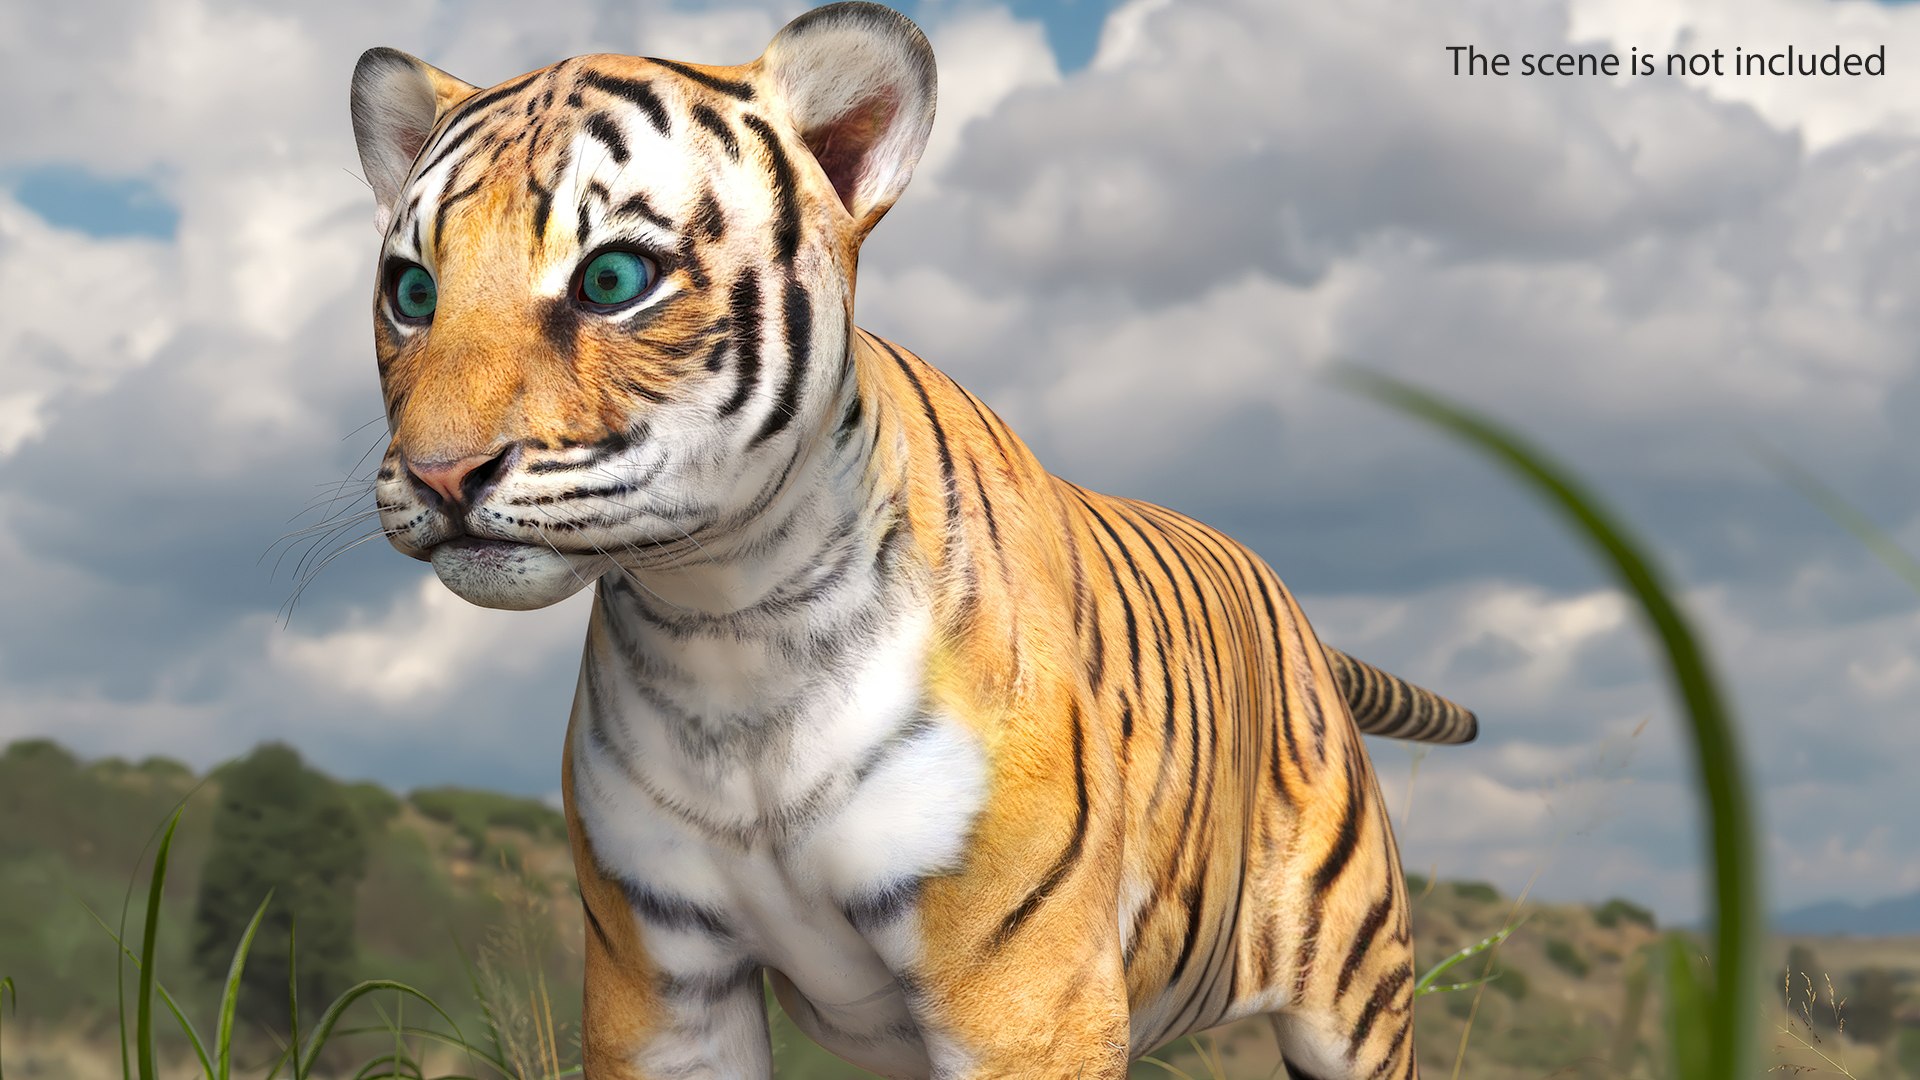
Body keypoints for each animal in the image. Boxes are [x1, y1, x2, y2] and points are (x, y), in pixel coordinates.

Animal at [346, 4, 1477, 1077]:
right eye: (413, 293)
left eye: (614, 280)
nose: (441, 475)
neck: (725, 628)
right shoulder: (661, 982)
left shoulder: (1024, 996)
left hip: (1356, 997)